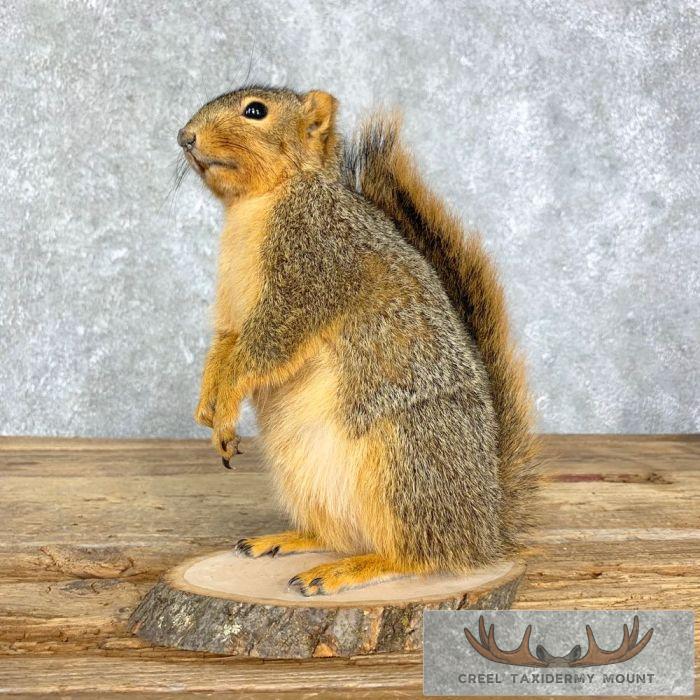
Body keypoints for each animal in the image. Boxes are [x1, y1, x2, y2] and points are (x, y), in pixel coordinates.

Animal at [177, 85, 540, 595]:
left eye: (255, 111)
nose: (184, 136)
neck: (258, 203)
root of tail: (485, 527)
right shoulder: (233, 312)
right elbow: (226, 346)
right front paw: (208, 404)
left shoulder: (312, 269)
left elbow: (264, 349)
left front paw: (225, 402)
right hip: (302, 475)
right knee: (338, 535)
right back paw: (289, 540)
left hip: (406, 462)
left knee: (419, 555)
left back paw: (349, 570)